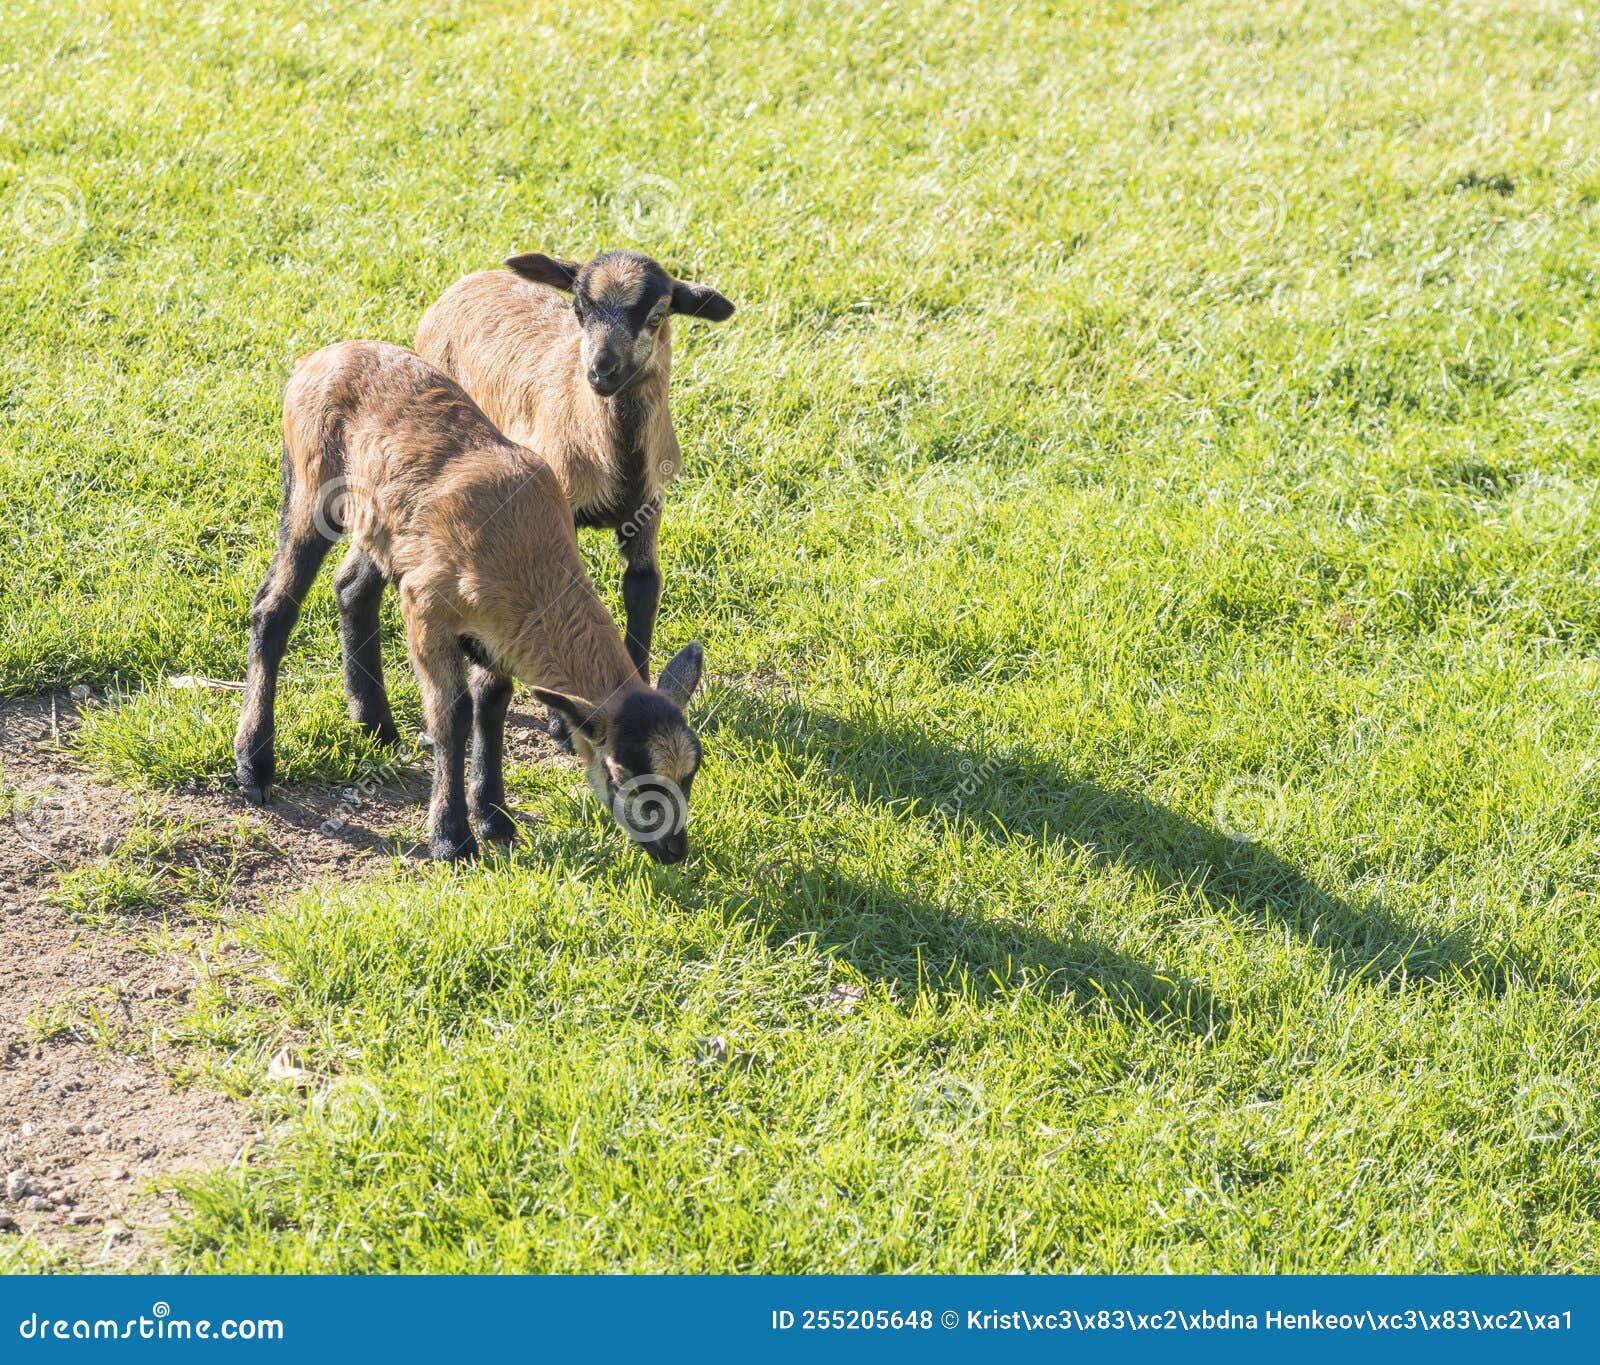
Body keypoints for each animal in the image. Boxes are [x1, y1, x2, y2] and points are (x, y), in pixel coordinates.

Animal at [232, 340, 707, 864]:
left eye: (692, 773)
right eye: (624, 775)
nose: (674, 850)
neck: (528, 554)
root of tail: (321, 356)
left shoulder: (500, 633)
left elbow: (490, 706)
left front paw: (493, 816)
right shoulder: (426, 611)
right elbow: (453, 717)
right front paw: (452, 837)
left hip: (384, 531)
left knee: (352, 588)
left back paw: (374, 723)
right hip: (310, 489)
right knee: (274, 609)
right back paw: (254, 765)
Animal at [413, 249, 733, 702]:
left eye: (656, 315)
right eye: (579, 310)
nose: (601, 371)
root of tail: (472, 278)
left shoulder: (649, 506)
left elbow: (643, 589)